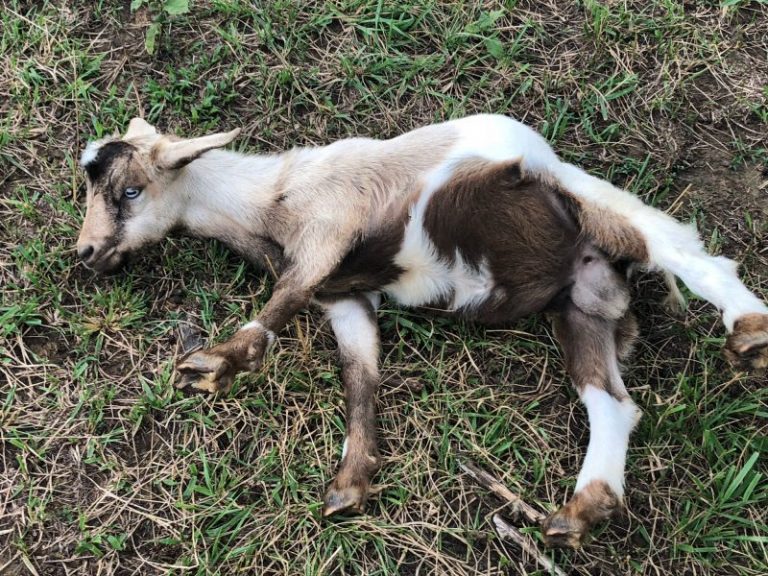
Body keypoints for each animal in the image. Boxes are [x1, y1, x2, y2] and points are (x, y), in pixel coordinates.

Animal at [76, 115, 768, 548]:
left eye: (130, 190)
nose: (85, 254)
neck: (270, 198)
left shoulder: (328, 233)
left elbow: (279, 307)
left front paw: (215, 363)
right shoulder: (346, 298)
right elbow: (360, 375)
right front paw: (350, 485)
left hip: (586, 202)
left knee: (686, 250)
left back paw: (750, 335)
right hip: (583, 306)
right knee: (613, 403)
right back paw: (581, 511)